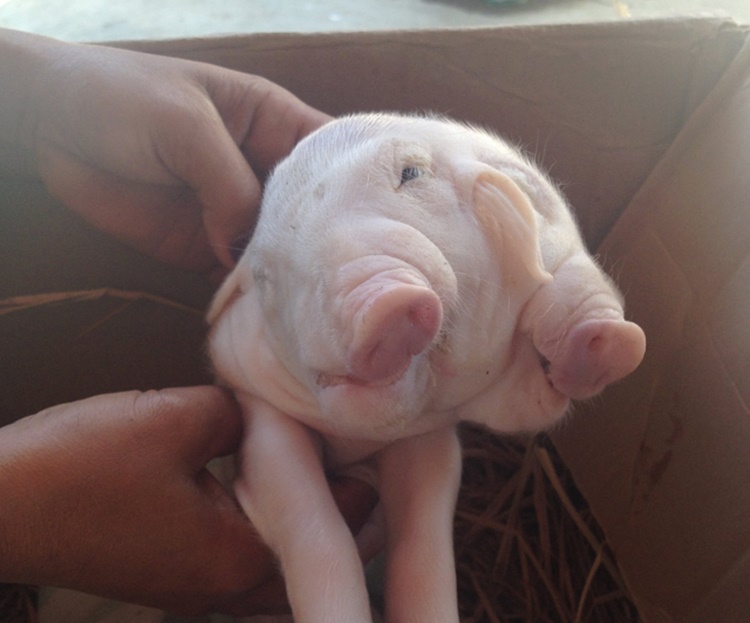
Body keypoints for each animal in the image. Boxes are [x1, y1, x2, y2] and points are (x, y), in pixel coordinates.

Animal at [207, 112, 646, 623]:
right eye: (264, 277)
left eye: (411, 173)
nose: (381, 301)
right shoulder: (256, 410)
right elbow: (313, 524)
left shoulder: (428, 442)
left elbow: (425, 544)